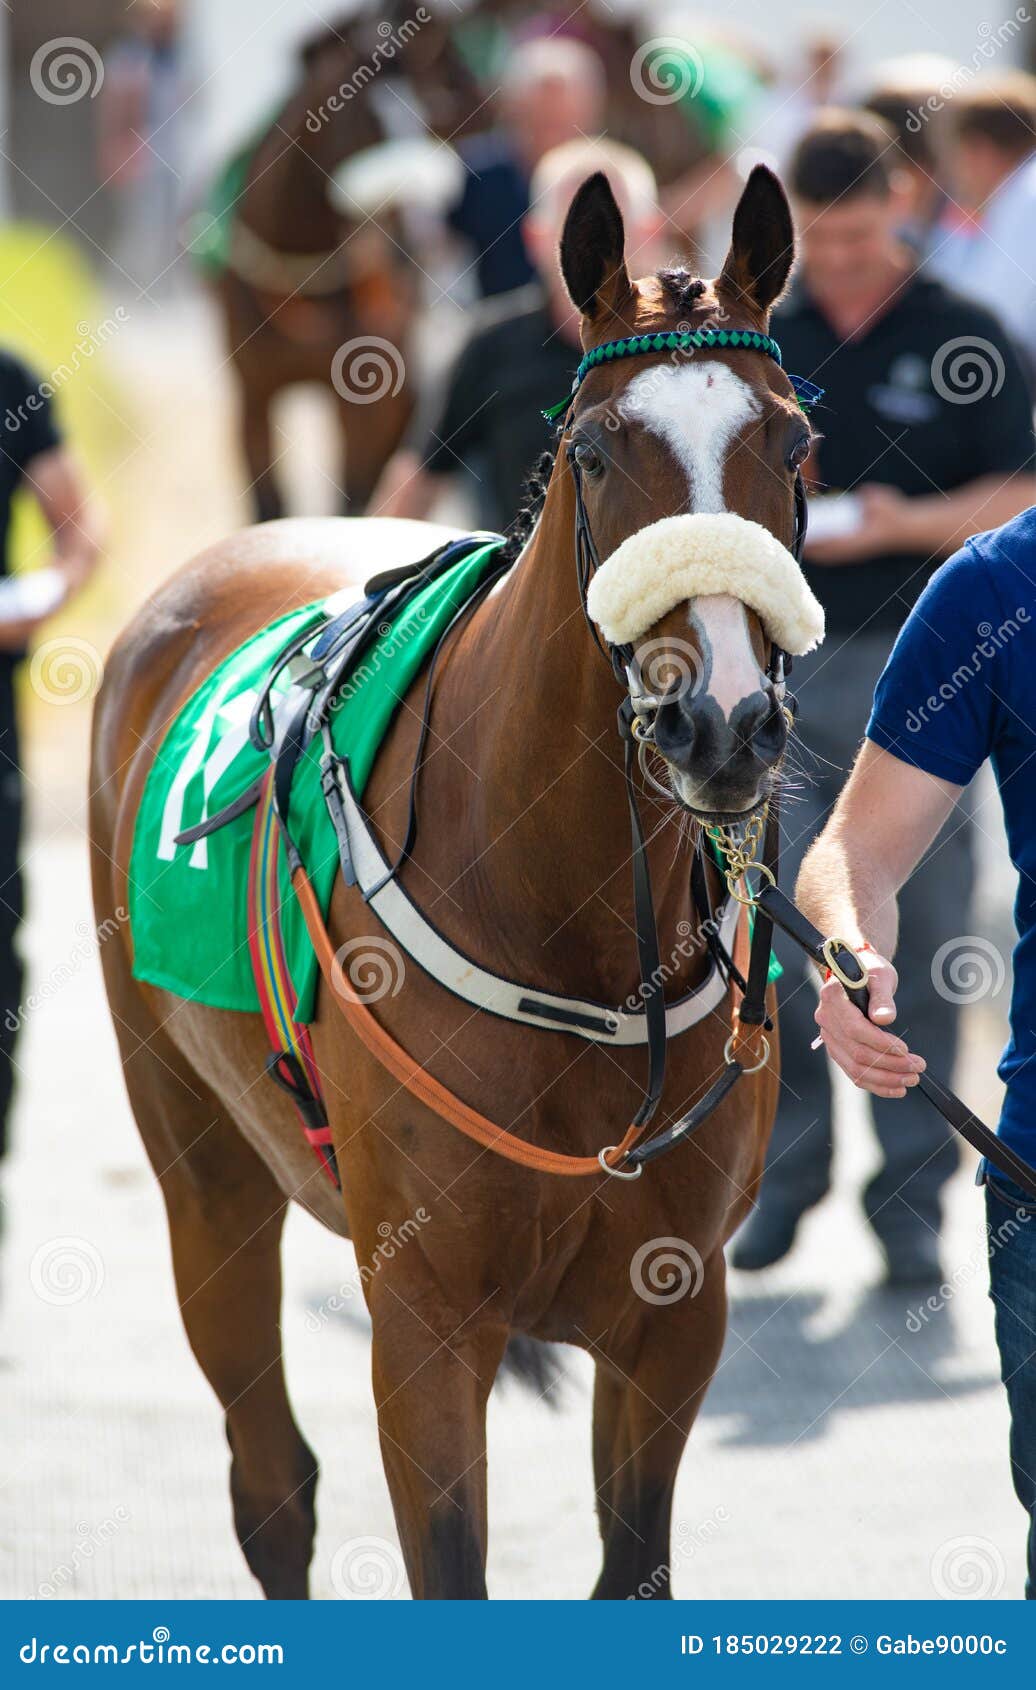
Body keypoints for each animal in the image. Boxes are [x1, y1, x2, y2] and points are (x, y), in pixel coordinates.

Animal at [91, 165, 806, 1599]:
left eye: (795, 443)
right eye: (596, 451)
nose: (723, 724)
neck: (573, 935)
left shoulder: (676, 1308)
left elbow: (633, 1567)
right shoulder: (424, 1319)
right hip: (203, 1167)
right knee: (272, 1484)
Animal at [204, 12, 479, 523]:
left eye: (424, 120)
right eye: (367, 123)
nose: (414, 239)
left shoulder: (365, 392)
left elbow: (352, 493)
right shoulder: (253, 389)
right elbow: (268, 500)